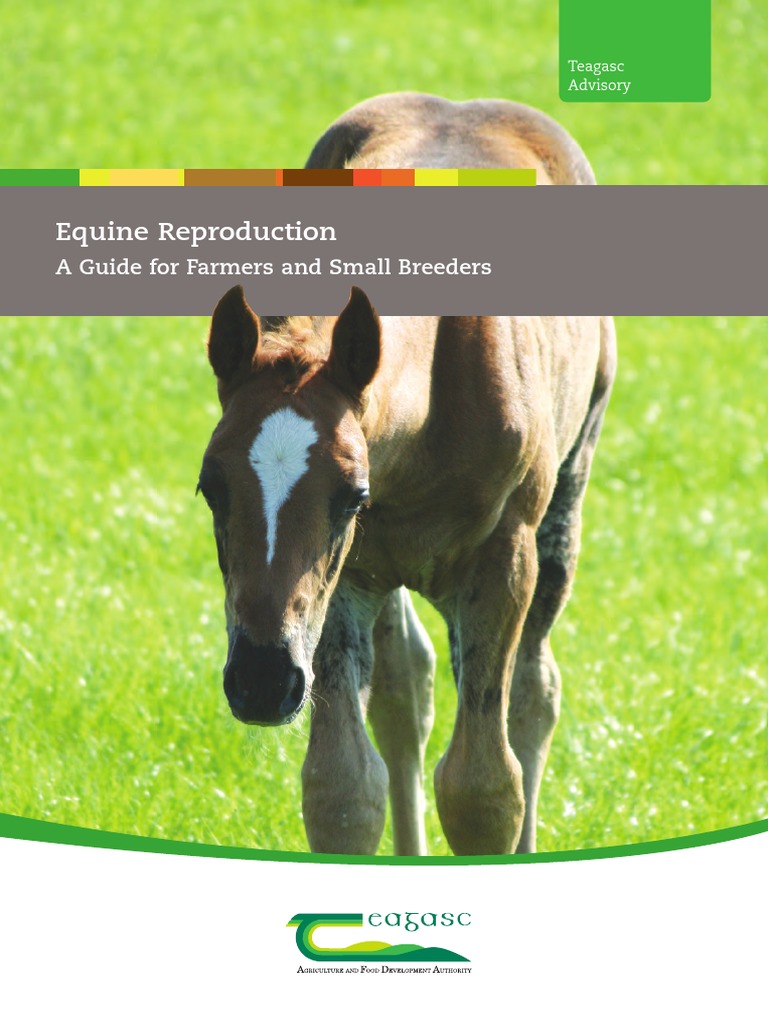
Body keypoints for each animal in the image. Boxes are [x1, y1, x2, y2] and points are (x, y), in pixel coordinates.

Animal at [198, 93, 616, 856]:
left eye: (350, 496)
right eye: (210, 487)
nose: (261, 679)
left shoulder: (501, 564)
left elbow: (484, 790)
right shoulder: (342, 584)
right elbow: (341, 790)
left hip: (564, 501)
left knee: (534, 692)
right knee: (404, 689)